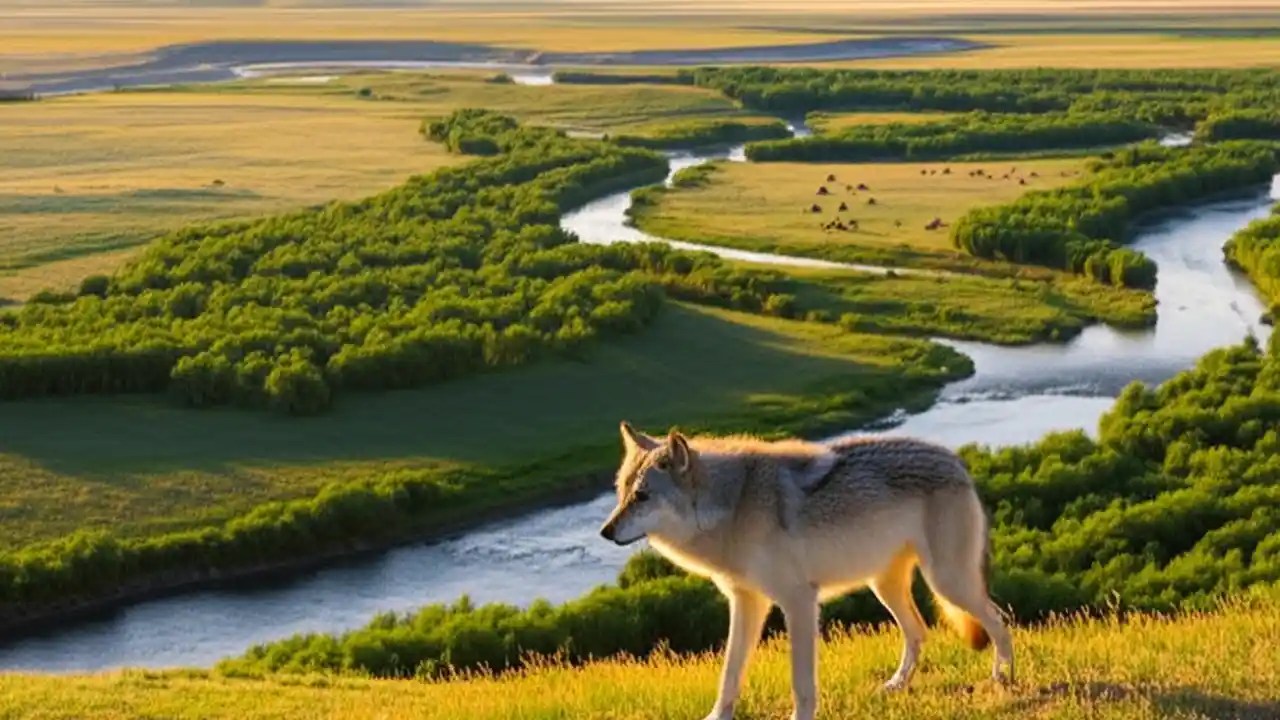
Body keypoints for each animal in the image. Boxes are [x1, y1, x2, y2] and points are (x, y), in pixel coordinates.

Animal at [600, 422, 1014, 720]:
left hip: (946, 582)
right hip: (886, 587)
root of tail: (956, 460)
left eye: (642, 497)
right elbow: (729, 674)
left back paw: (1003, 678)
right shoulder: (746, 603)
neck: (734, 508)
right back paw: (896, 685)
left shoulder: (798, 602)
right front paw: (717, 716)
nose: (605, 531)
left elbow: (801, 684)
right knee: (920, 631)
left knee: (999, 619)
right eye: (621, 493)